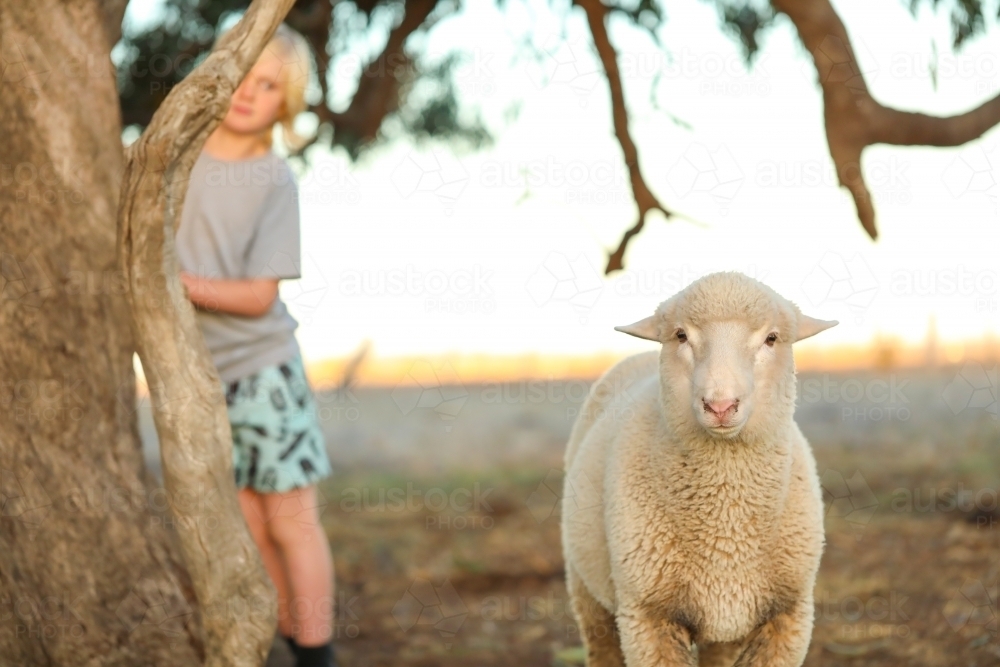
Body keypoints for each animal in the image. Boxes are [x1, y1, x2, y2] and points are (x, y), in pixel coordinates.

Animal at [561, 271, 837, 667]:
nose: (720, 406)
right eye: (681, 335)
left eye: (771, 338)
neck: (726, 534)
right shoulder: (647, 618)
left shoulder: (789, 616)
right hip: (586, 587)